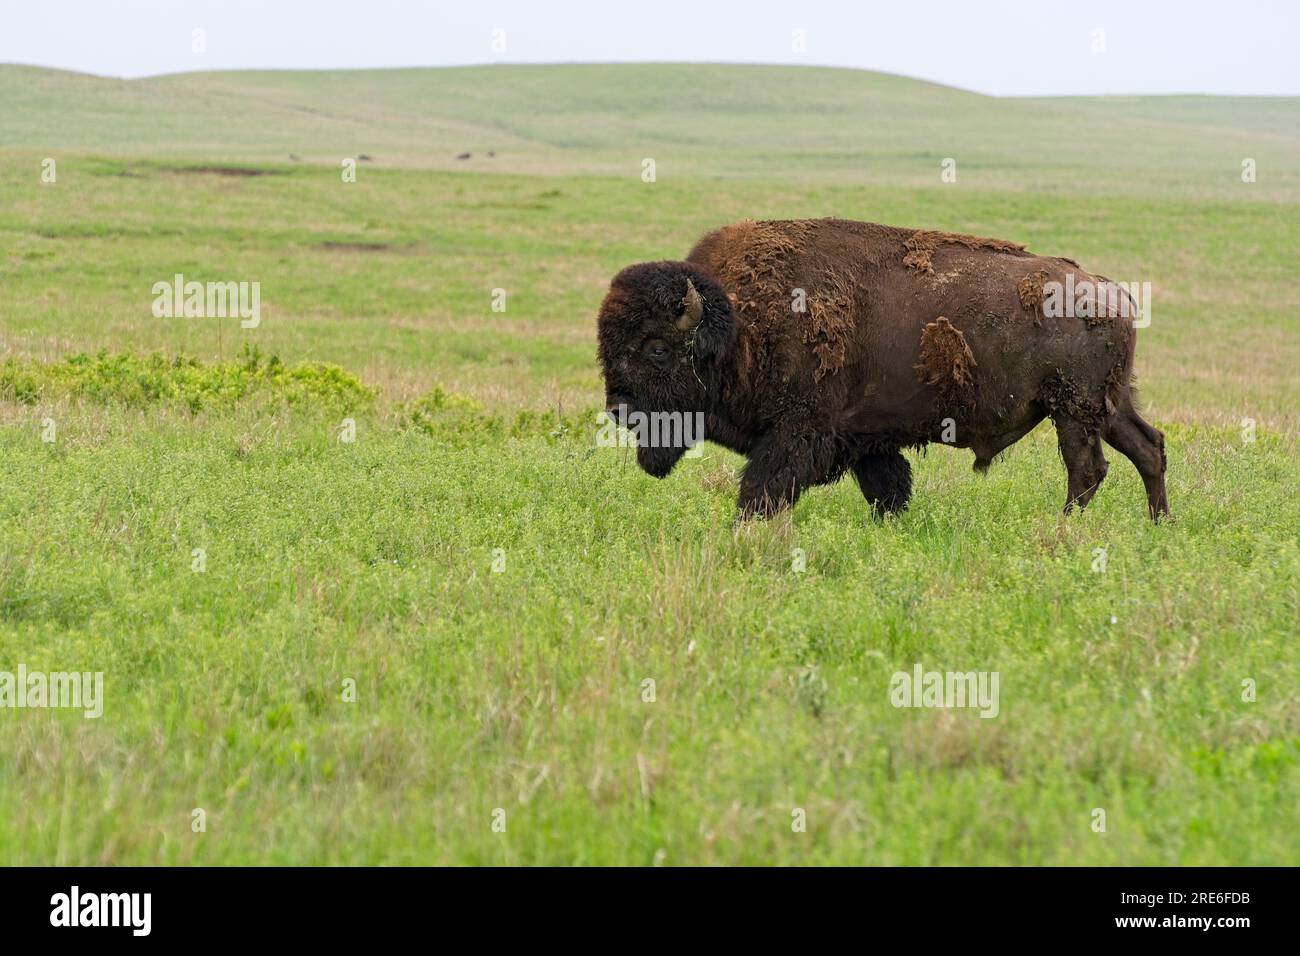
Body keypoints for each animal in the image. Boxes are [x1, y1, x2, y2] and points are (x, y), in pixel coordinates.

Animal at [596, 218, 1169, 521]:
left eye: (657, 349)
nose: (620, 410)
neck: (740, 325)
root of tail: (1110, 291)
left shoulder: (796, 432)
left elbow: (760, 490)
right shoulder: (867, 441)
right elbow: (888, 491)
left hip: (1073, 408)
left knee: (1087, 468)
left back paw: (1062, 526)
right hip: (1109, 404)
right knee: (1148, 447)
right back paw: (1157, 524)